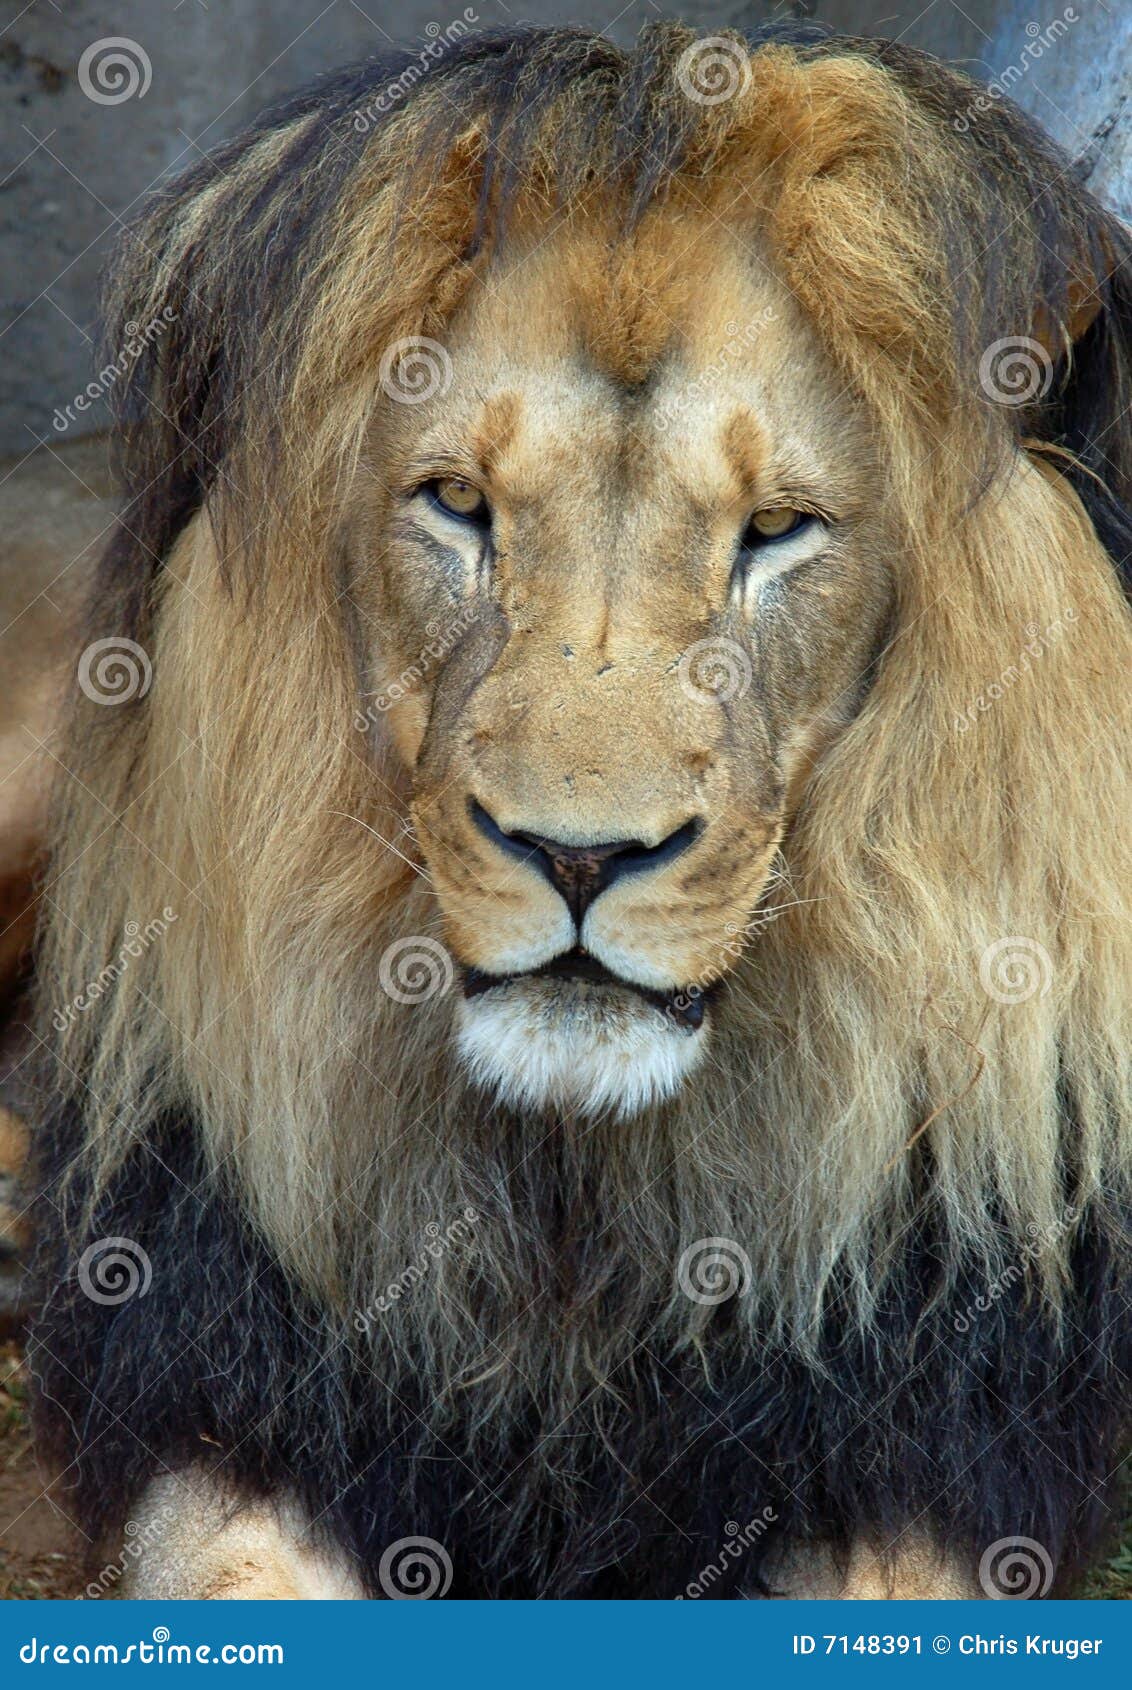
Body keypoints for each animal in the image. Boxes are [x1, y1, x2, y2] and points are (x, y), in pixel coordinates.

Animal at [25, 22, 1132, 1600]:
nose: (578, 855)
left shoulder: (928, 1443)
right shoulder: (242, 1406)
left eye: (775, 530)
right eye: (457, 504)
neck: (577, 1195)